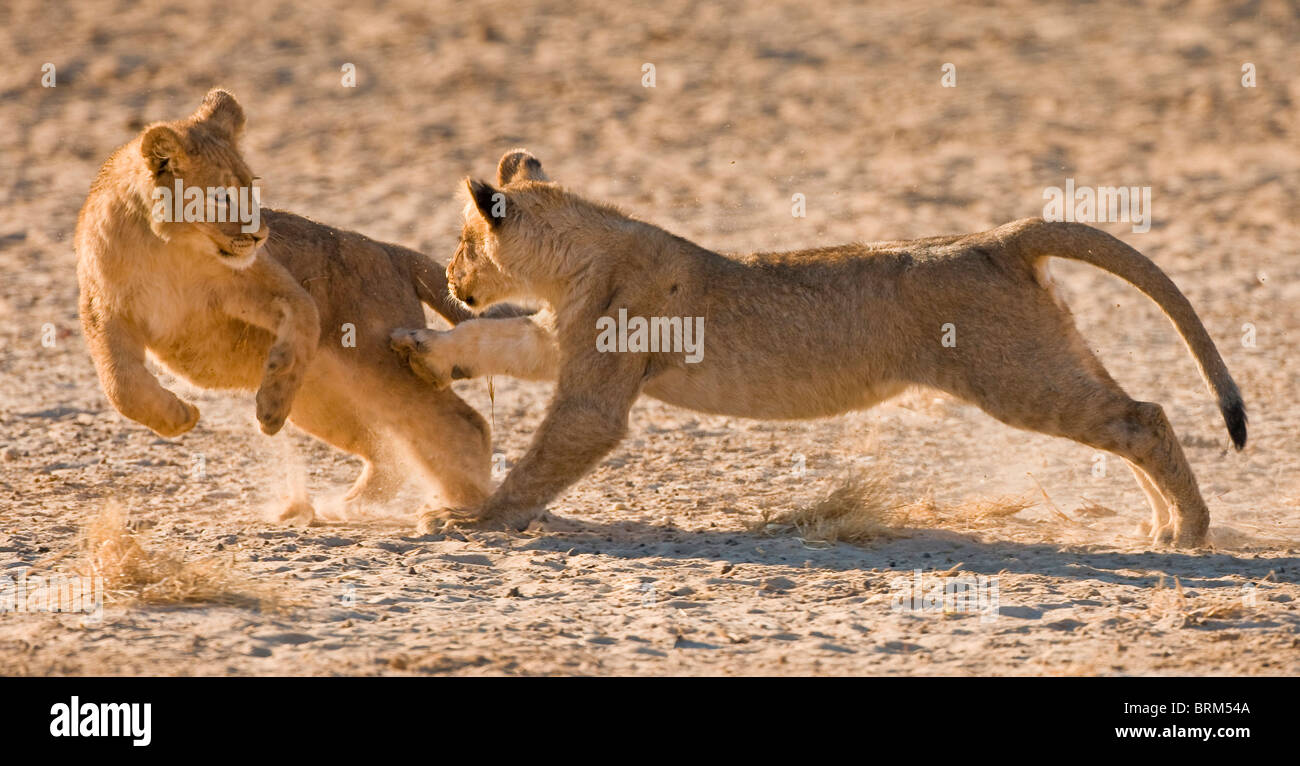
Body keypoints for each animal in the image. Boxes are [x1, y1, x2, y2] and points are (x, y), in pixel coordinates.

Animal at [75, 89, 493, 521]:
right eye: (222, 197)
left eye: (251, 187)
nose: (261, 235)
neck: (164, 248)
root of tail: (391, 250)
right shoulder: (103, 311)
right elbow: (120, 385)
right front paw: (179, 417)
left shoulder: (262, 281)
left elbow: (304, 314)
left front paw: (272, 400)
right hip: (324, 399)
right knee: (391, 449)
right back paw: (345, 505)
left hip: (381, 365)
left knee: (466, 424)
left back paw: (458, 509)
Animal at [391, 149, 1246, 548]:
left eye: (463, 243)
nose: (451, 274)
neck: (575, 255)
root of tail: (997, 238)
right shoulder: (559, 337)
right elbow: (495, 335)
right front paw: (419, 348)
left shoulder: (598, 385)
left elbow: (544, 455)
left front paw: (471, 518)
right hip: (1049, 359)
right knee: (1134, 417)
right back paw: (1161, 526)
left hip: (1016, 377)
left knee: (1142, 419)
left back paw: (1191, 531)